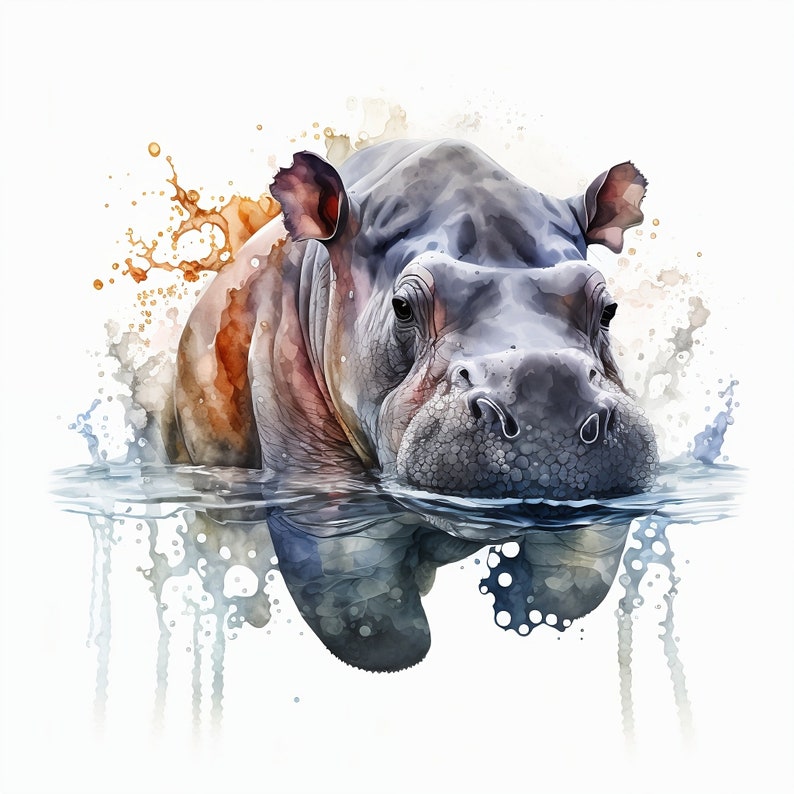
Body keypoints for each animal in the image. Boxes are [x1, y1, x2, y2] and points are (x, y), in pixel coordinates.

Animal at [169, 138, 658, 670]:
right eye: (402, 307)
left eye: (608, 308)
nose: (548, 406)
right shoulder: (318, 494)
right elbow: (361, 609)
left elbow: (578, 578)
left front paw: (517, 599)